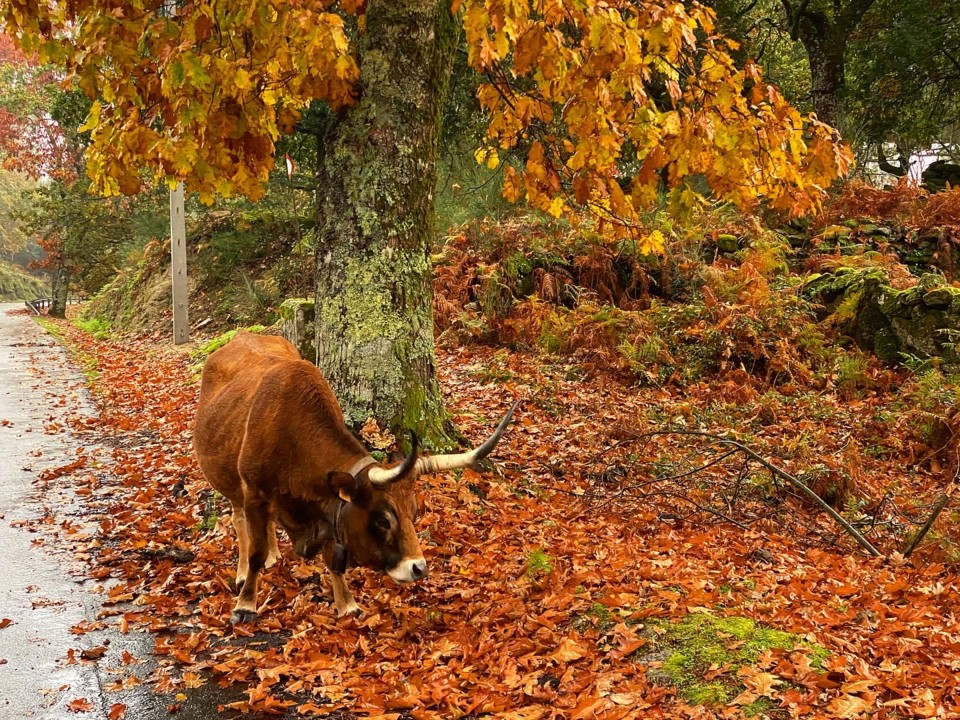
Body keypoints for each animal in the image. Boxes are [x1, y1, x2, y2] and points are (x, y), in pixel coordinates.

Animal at [193, 332, 516, 622]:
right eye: (383, 519)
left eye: (414, 512)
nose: (419, 568)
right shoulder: (255, 492)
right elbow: (255, 553)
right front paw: (245, 603)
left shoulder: (325, 509)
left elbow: (333, 561)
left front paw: (346, 604)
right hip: (232, 485)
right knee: (239, 521)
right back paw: (242, 571)